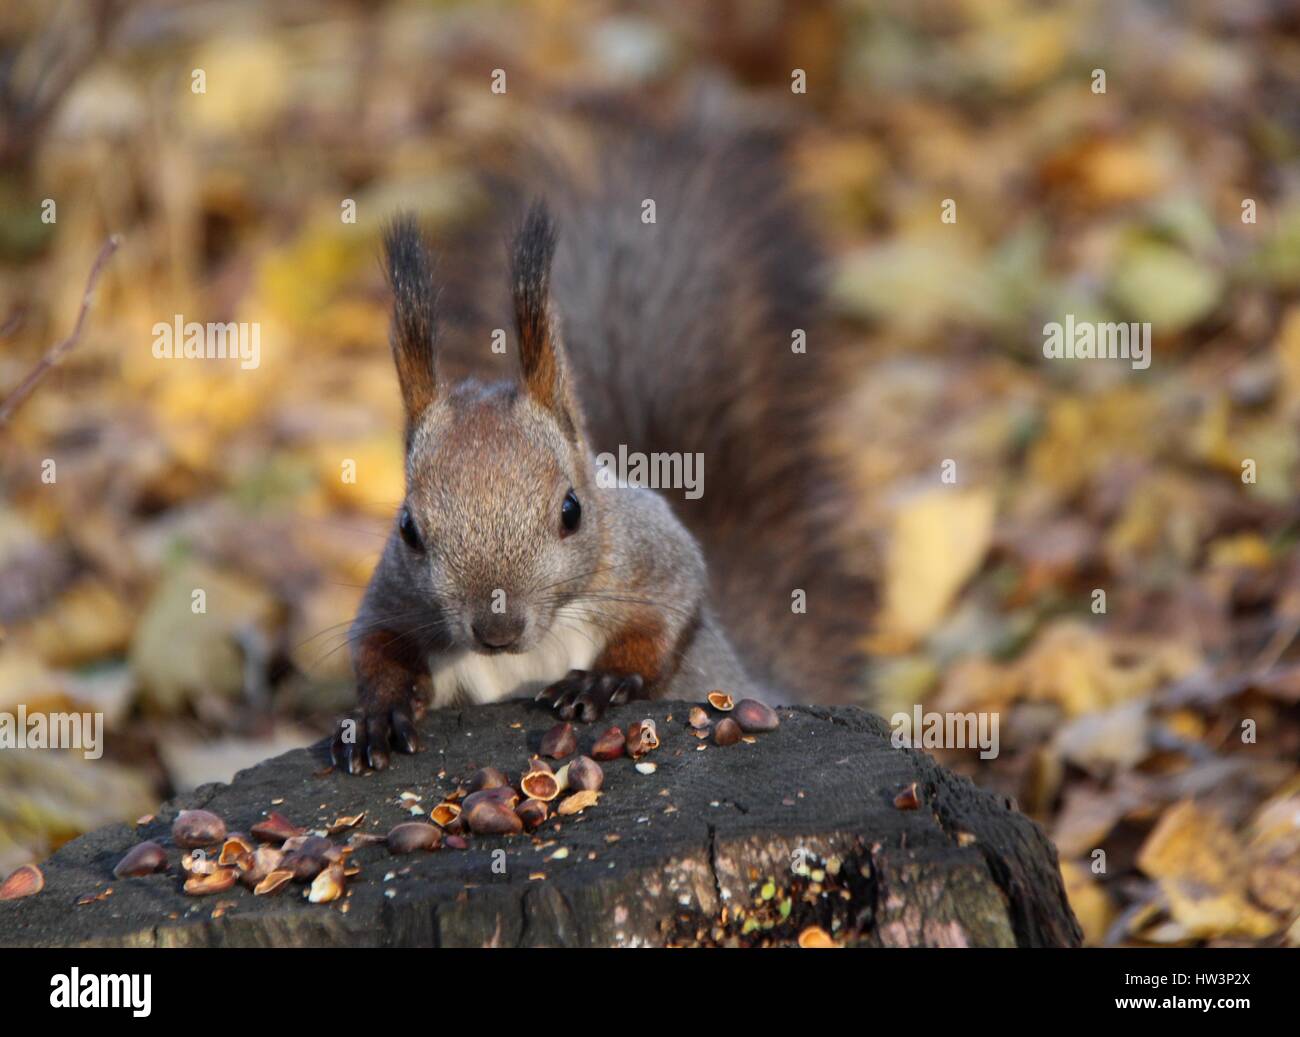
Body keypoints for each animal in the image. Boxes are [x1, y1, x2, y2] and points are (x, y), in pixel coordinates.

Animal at [333, 111, 874, 773]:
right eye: (409, 529)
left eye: (572, 511)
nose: (497, 632)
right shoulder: (394, 594)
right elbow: (373, 643)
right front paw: (378, 712)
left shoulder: (652, 553)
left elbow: (666, 616)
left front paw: (605, 679)